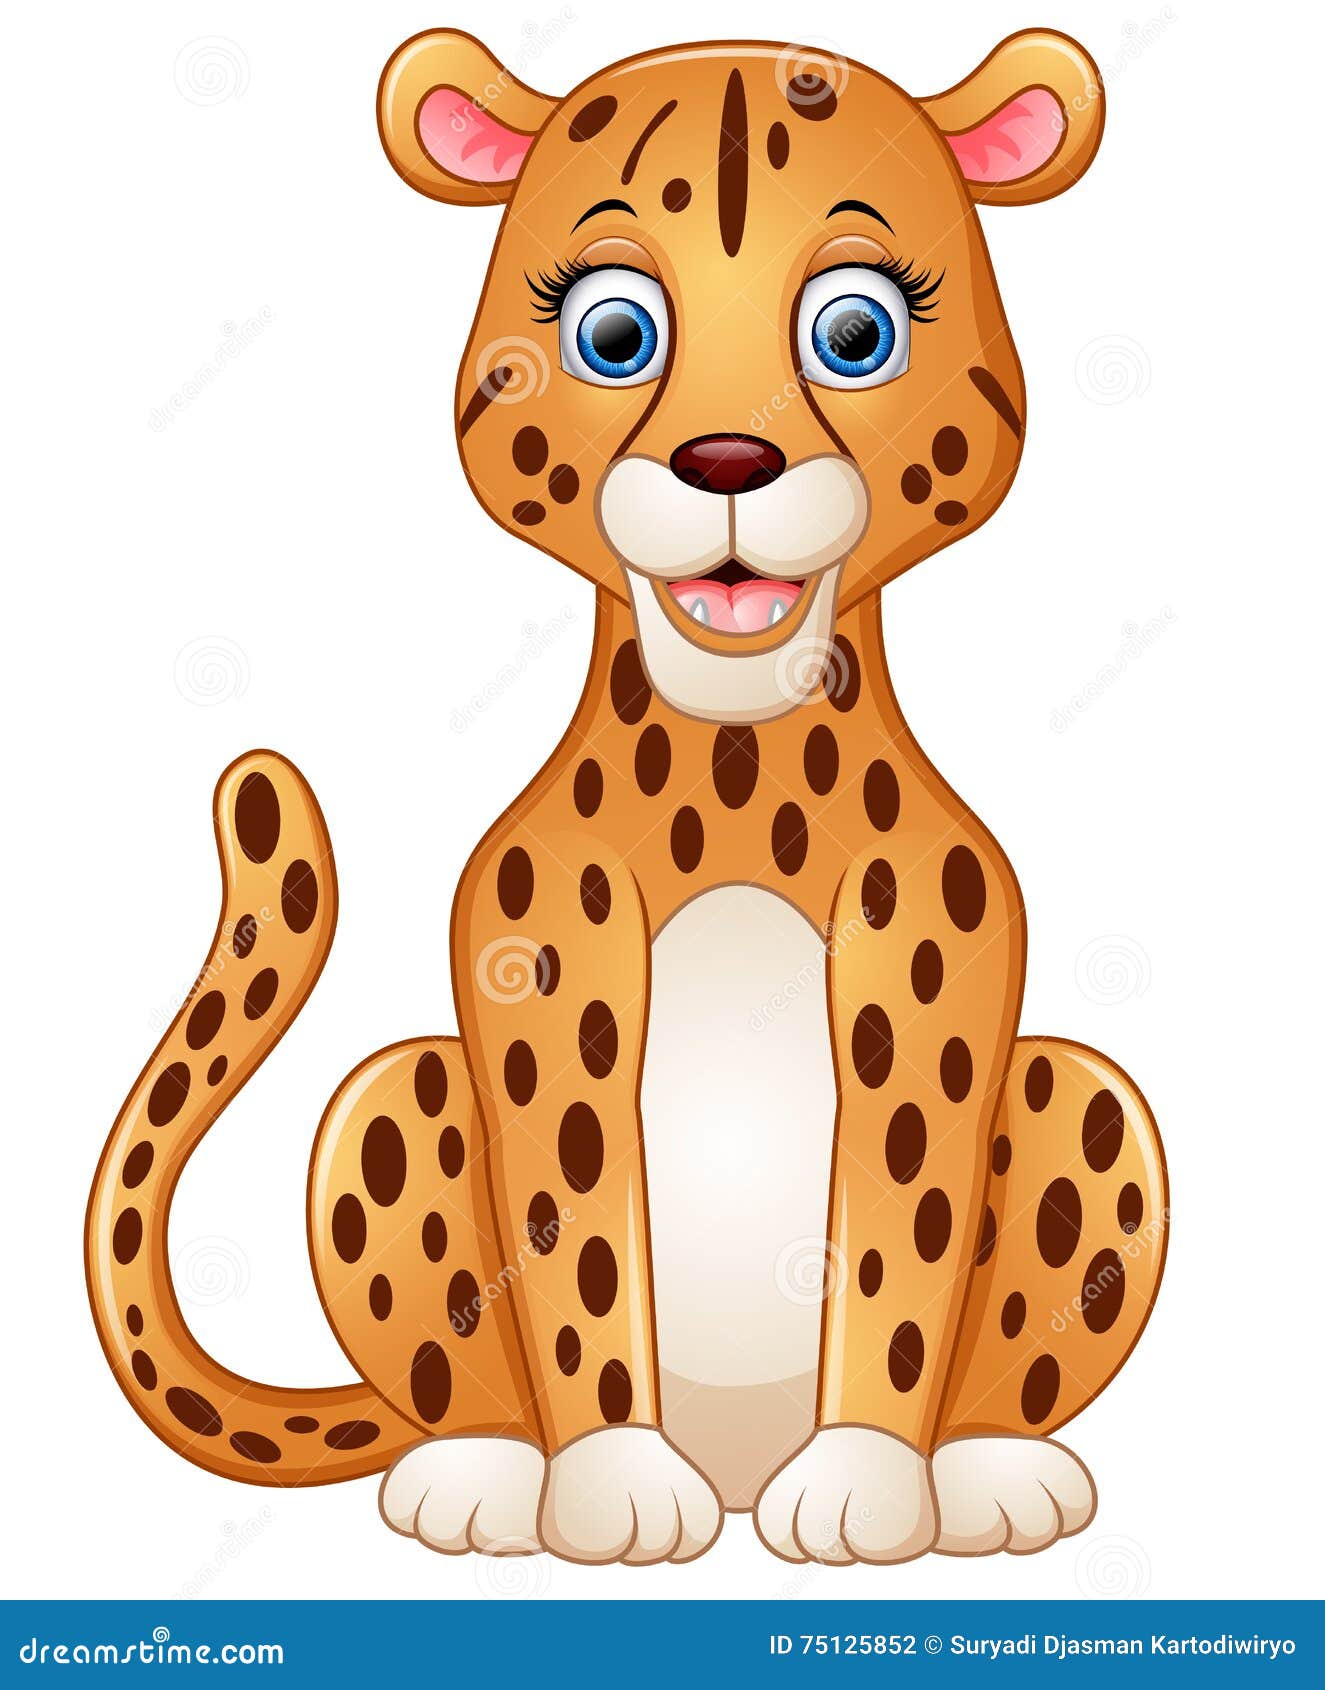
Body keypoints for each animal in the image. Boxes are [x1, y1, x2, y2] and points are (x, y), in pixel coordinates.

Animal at [86, 26, 1167, 1566]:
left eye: (854, 333)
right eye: (613, 334)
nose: (730, 460)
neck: (738, 751)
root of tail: (739, 1468)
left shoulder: (934, 985)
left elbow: (897, 1250)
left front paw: (866, 1482)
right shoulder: (543, 978)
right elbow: (577, 1233)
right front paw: (611, 1483)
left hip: (1083, 1090)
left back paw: (992, 1472)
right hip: (397, 1092)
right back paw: (480, 1474)